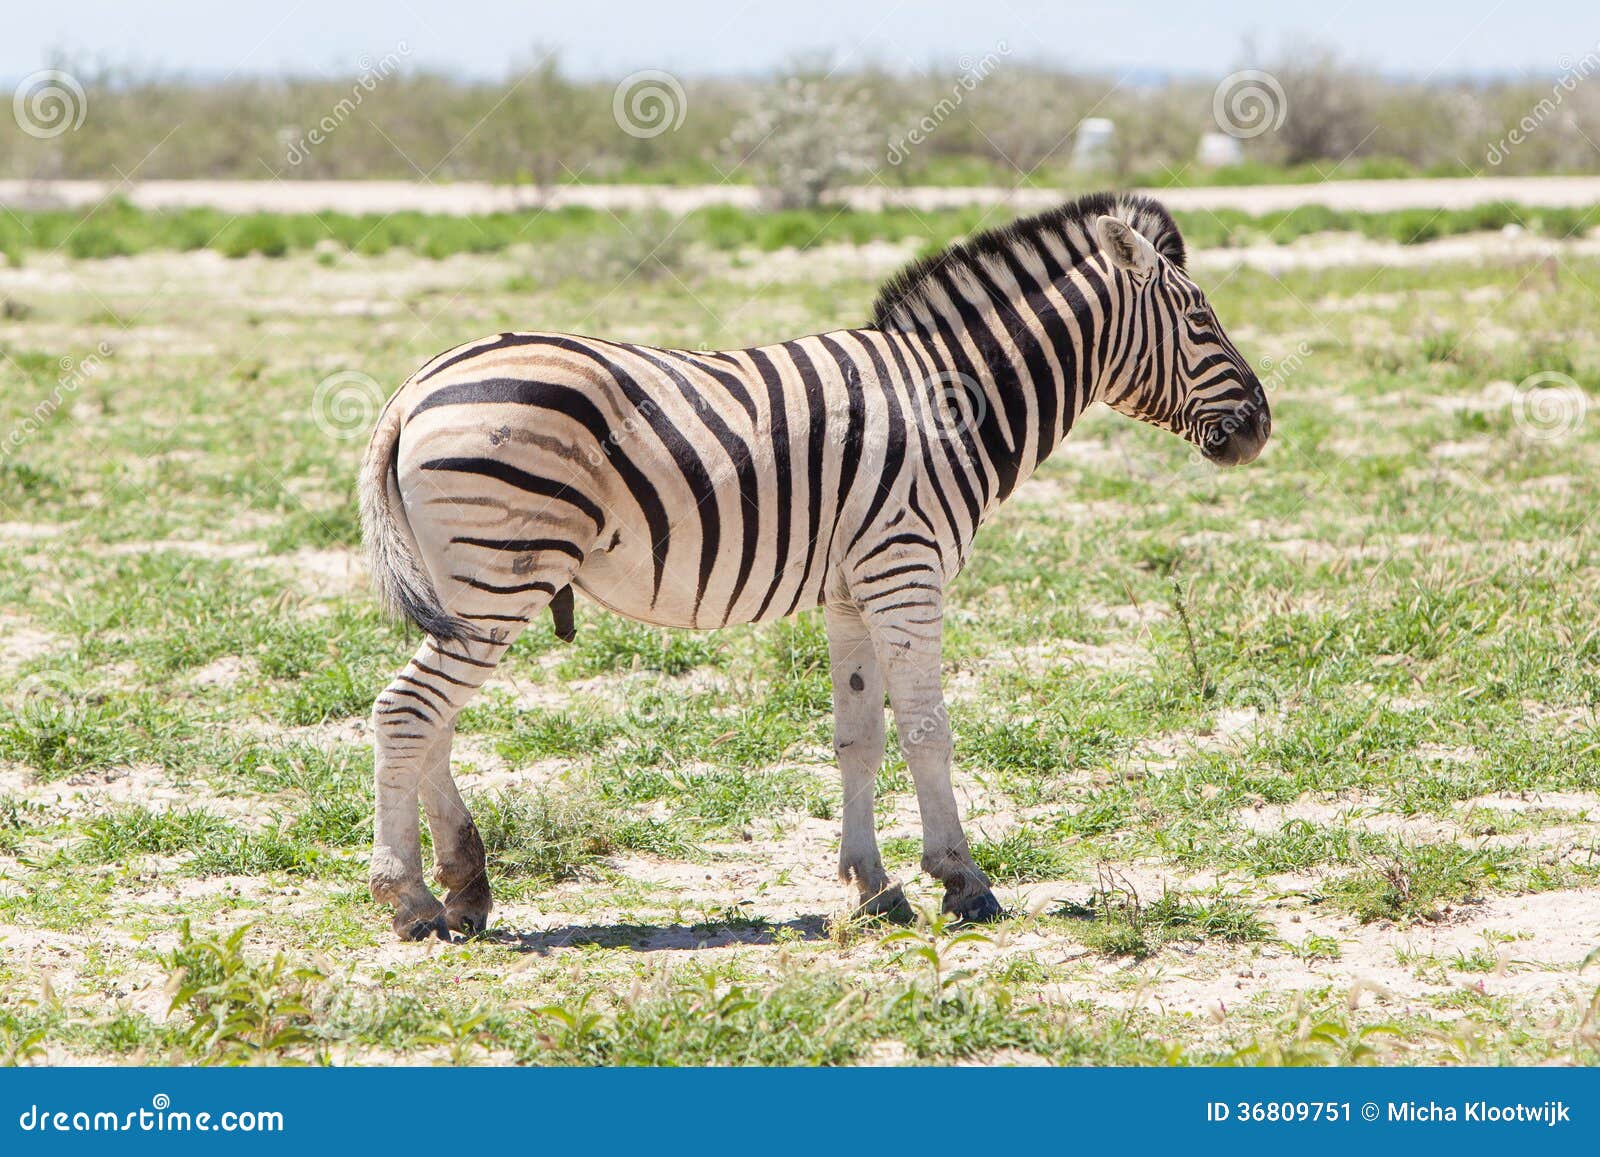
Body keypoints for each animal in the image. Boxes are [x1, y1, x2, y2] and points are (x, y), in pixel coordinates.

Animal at [358, 191, 1271, 941]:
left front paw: (875, 887)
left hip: (470, 585)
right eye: (1200, 318)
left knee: (435, 719)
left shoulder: (852, 590)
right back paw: (410, 898)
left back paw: (466, 889)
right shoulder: (907, 570)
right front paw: (962, 881)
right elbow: (928, 730)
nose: (1261, 427)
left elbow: (857, 734)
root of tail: (413, 387)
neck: (953, 399)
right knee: (408, 710)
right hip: (500, 574)